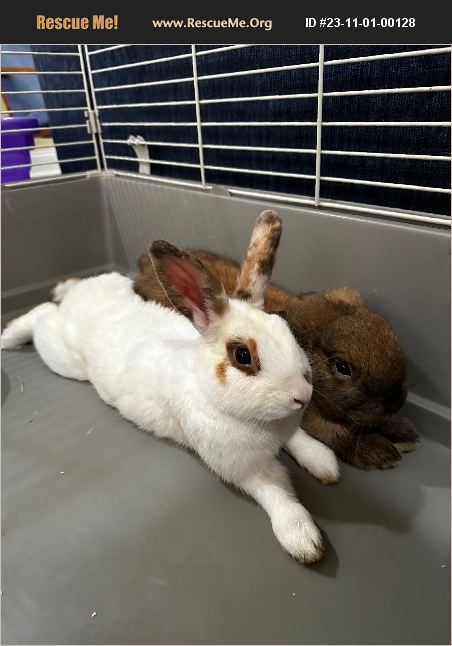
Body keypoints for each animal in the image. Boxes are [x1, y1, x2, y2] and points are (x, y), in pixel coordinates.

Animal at [1, 210, 340, 564]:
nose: (302, 394)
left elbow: (300, 440)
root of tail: (76, 302)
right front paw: (305, 541)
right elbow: (279, 492)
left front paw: (324, 462)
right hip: (62, 357)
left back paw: (60, 288)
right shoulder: (242, 469)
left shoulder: (287, 433)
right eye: (243, 356)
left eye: (284, 325)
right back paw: (10, 334)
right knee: (43, 316)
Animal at [134, 247, 418, 471]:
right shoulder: (313, 418)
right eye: (343, 367)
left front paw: (404, 429)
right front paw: (383, 453)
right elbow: (337, 434)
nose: (395, 402)